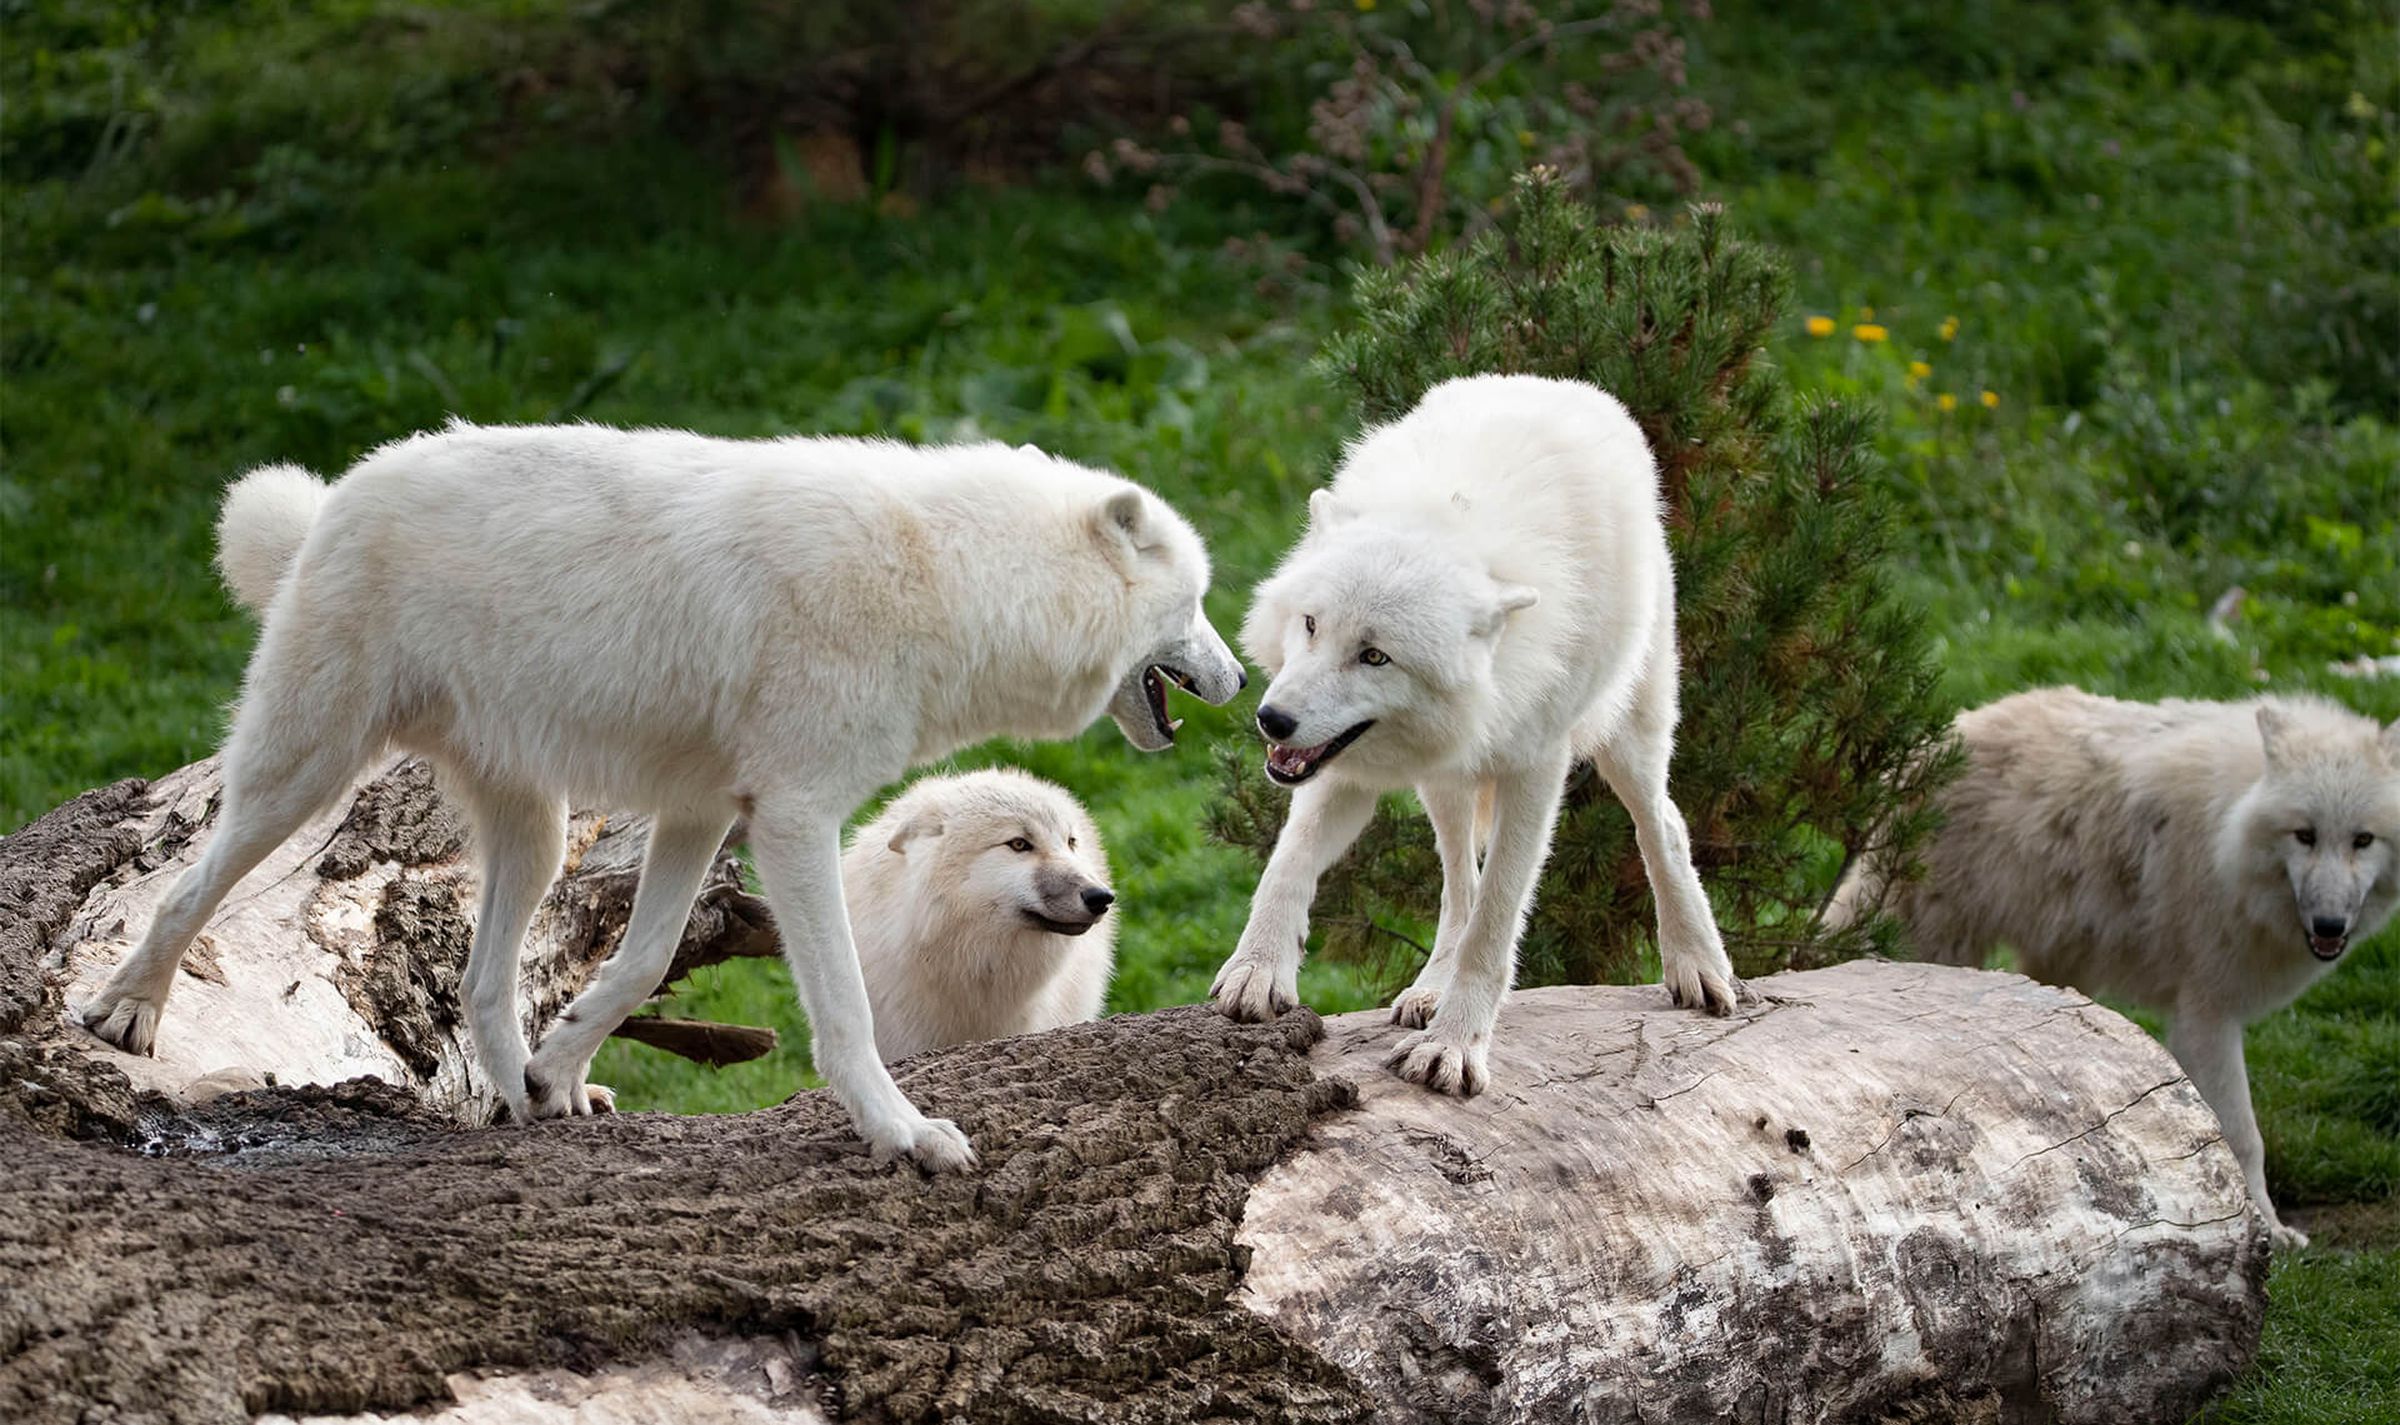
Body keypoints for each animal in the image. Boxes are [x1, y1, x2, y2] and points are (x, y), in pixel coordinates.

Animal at [1209, 374, 1741, 1095]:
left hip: (1627, 736)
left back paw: (1698, 961)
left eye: (1374, 656)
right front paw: (1257, 970)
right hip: (1444, 777)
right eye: (1312, 624)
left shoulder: (1536, 772)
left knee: (1663, 824)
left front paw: (1454, 1047)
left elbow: (1496, 920)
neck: (1447, 521)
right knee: (1457, 878)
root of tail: (1563, 383)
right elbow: (1287, 864)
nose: (1273, 719)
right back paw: (1430, 986)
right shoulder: (1339, 765)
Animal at [1825, 686, 2400, 1248]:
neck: (2229, 833)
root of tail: (1932, 741)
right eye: (2305, 834)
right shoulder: (2206, 1011)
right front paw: (2268, 1230)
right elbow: (2242, 1135)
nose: (2329, 925)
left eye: (2362, 839)